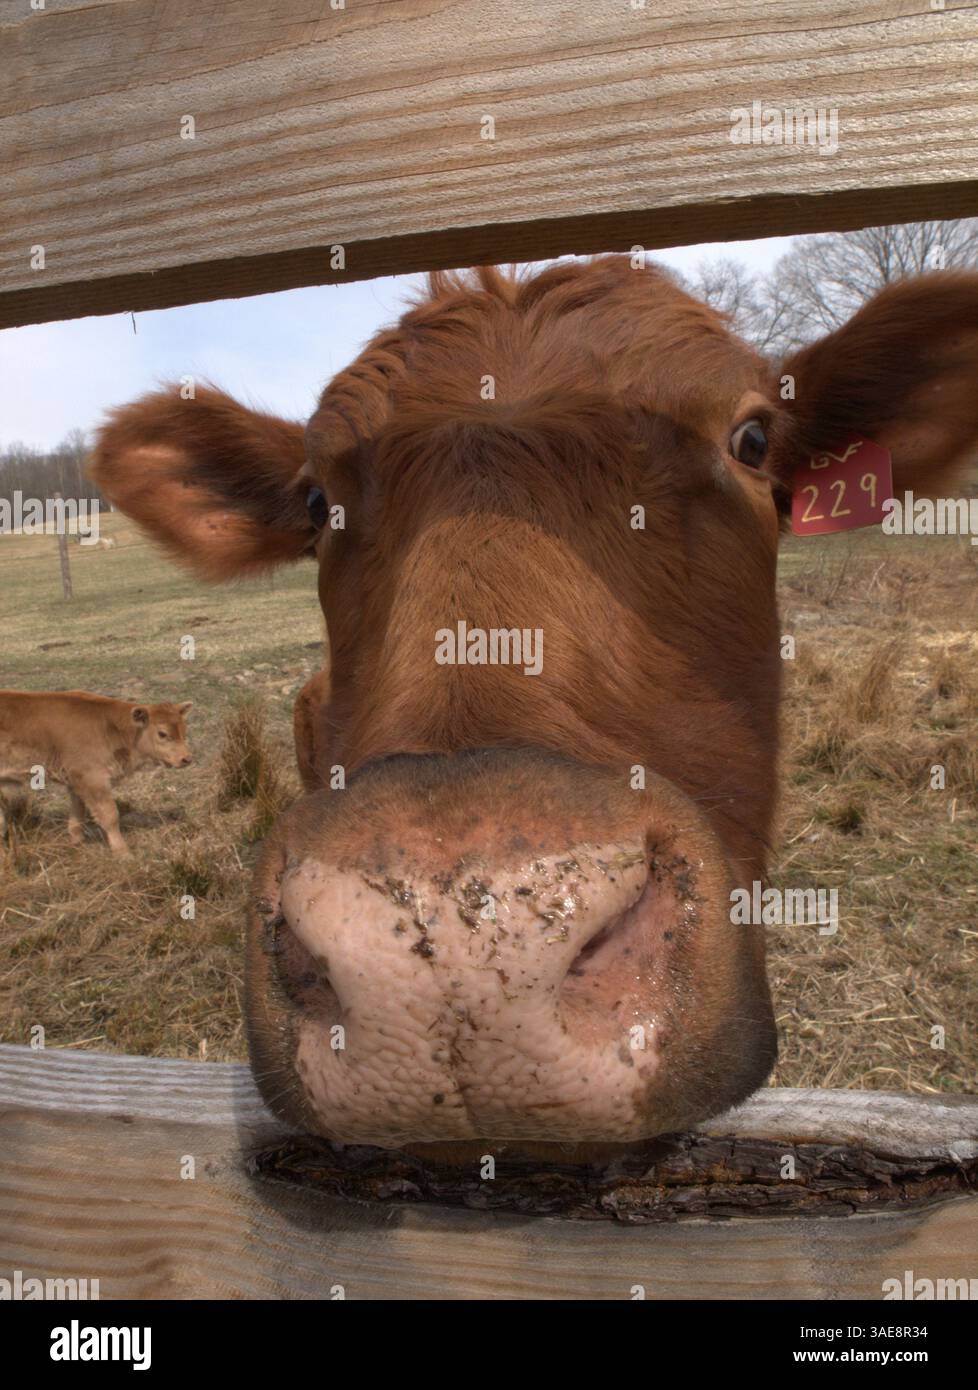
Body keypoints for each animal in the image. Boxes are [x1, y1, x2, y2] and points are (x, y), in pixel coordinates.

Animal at [0, 691, 193, 857]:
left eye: (184, 730)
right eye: (162, 733)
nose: (186, 758)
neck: (110, 727)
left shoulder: (76, 781)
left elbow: (78, 813)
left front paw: (77, 843)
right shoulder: (93, 779)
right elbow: (110, 816)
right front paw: (123, 853)